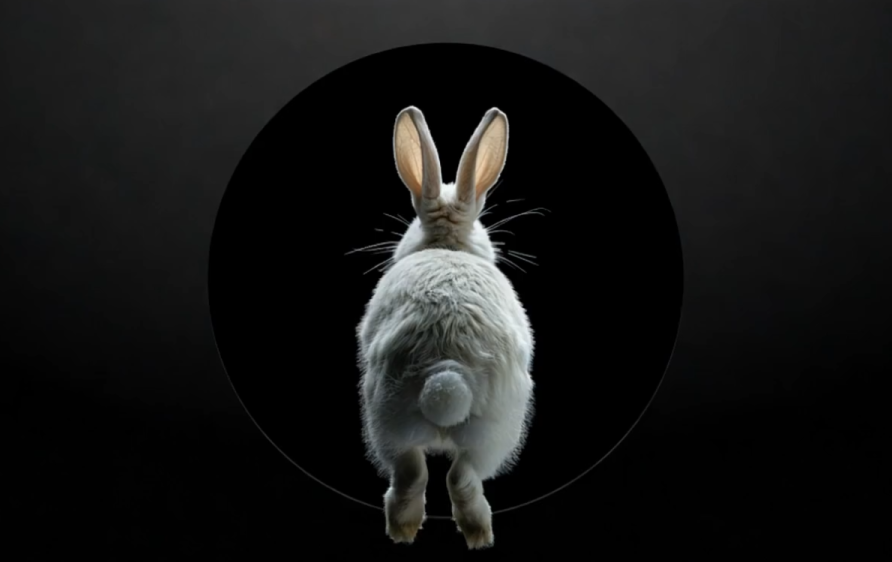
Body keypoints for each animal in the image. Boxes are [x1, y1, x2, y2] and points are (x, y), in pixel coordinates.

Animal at [356, 106, 535, 549]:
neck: (446, 244)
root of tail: (445, 374)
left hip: (390, 418)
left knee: (419, 475)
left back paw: (407, 530)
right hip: (492, 429)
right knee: (455, 476)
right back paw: (475, 534)